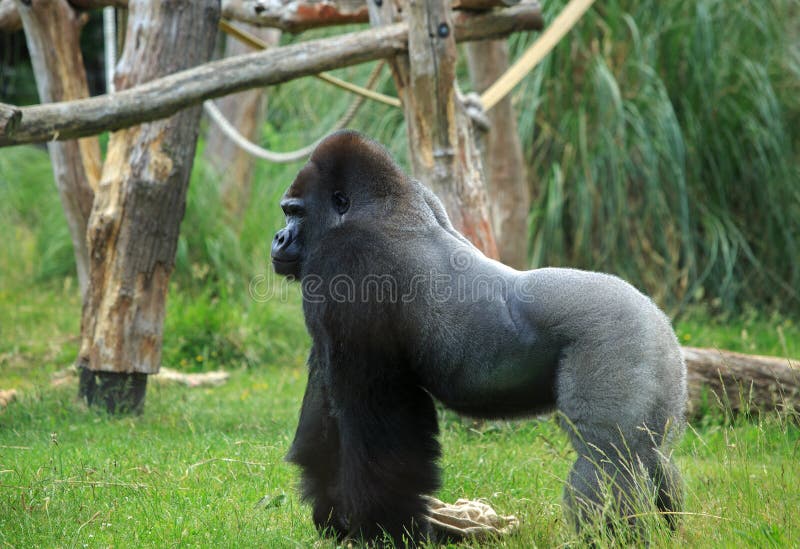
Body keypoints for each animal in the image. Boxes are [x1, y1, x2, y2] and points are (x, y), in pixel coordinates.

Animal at [271, 130, 687, 545]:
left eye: (295, 212)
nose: (278, 238)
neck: (379, 208)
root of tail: (657, 315)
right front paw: (335, 514)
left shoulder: (349, 261)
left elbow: (377, 414)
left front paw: (382, 529)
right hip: (659, 360)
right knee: (652, 455)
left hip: (617, 340)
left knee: (607, 458)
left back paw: (615, 535)